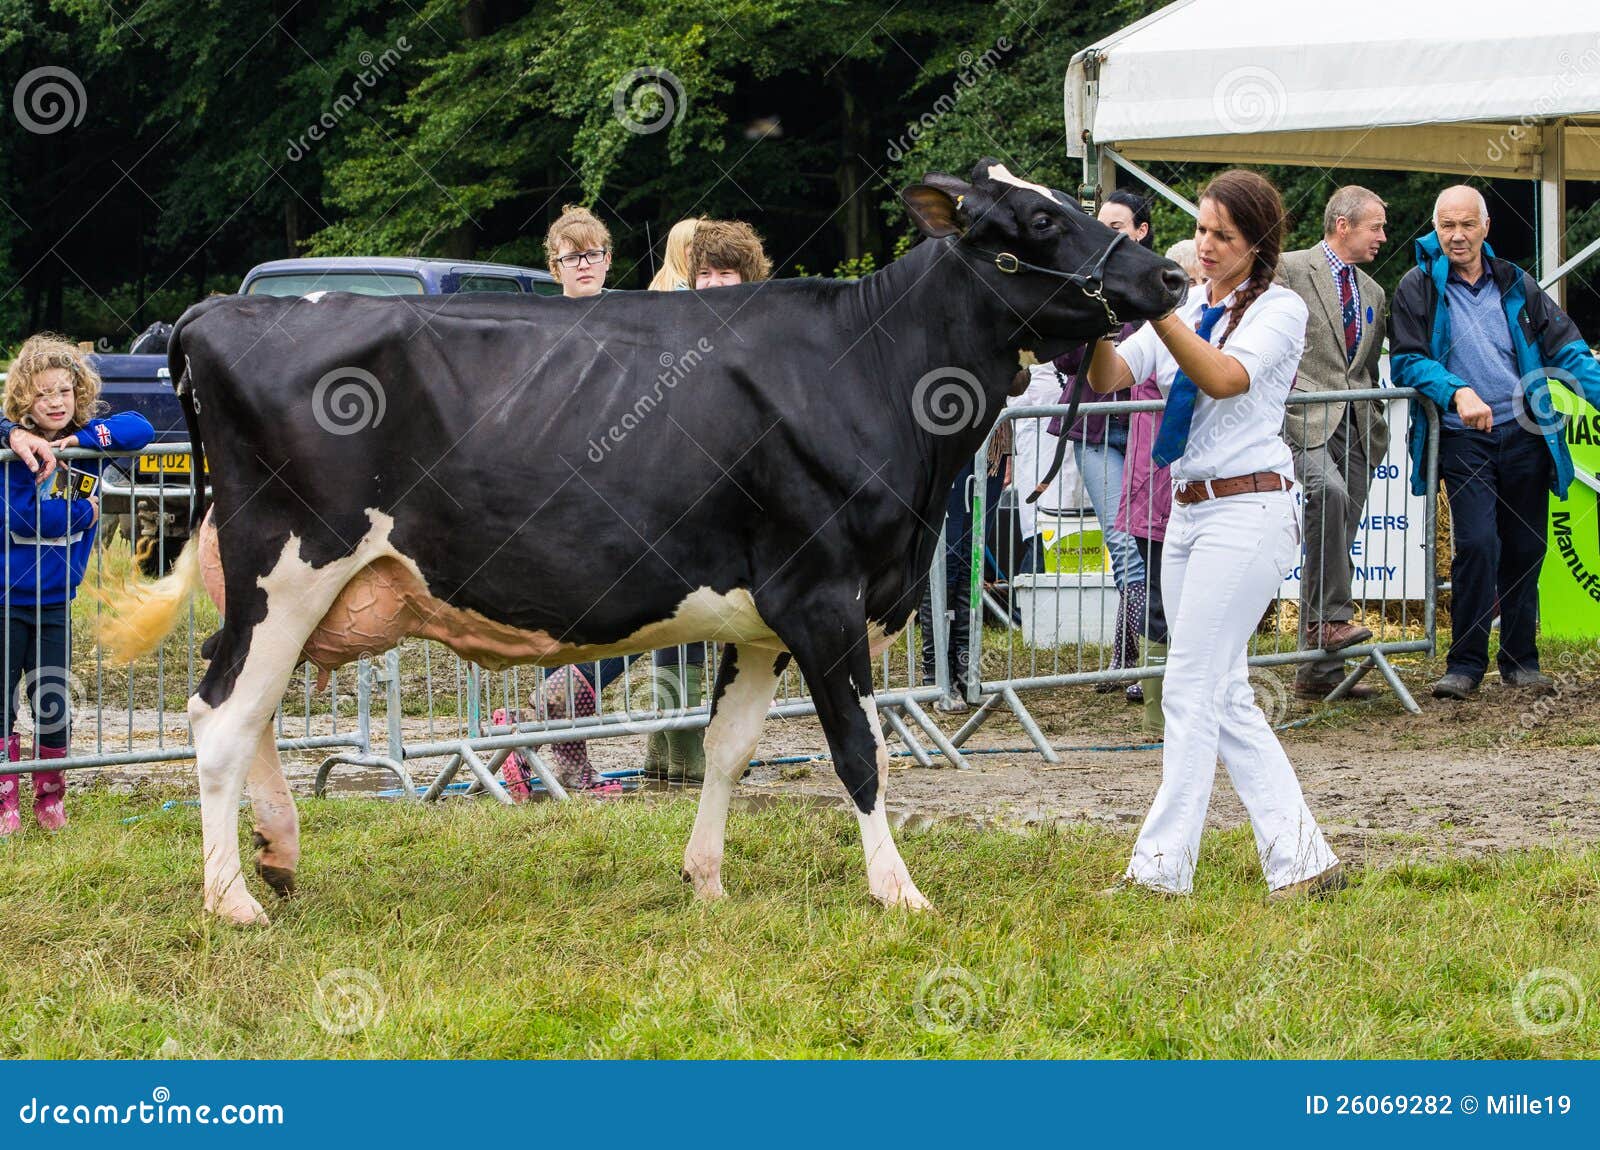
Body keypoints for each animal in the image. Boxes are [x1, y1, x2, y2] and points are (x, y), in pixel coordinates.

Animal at [103, 160, 1185, 925]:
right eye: (1039, 222)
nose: (1168, 271)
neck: (873, 368)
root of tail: (221, 311)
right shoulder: (824, 593)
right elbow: (860, 750)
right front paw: (898, 891)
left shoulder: (763, 617)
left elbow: (728, 749)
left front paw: (706, 880)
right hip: (287, 562)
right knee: (219, 717)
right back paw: (232, 900)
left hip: (287, 585)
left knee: (247, 707)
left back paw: (279, 857)